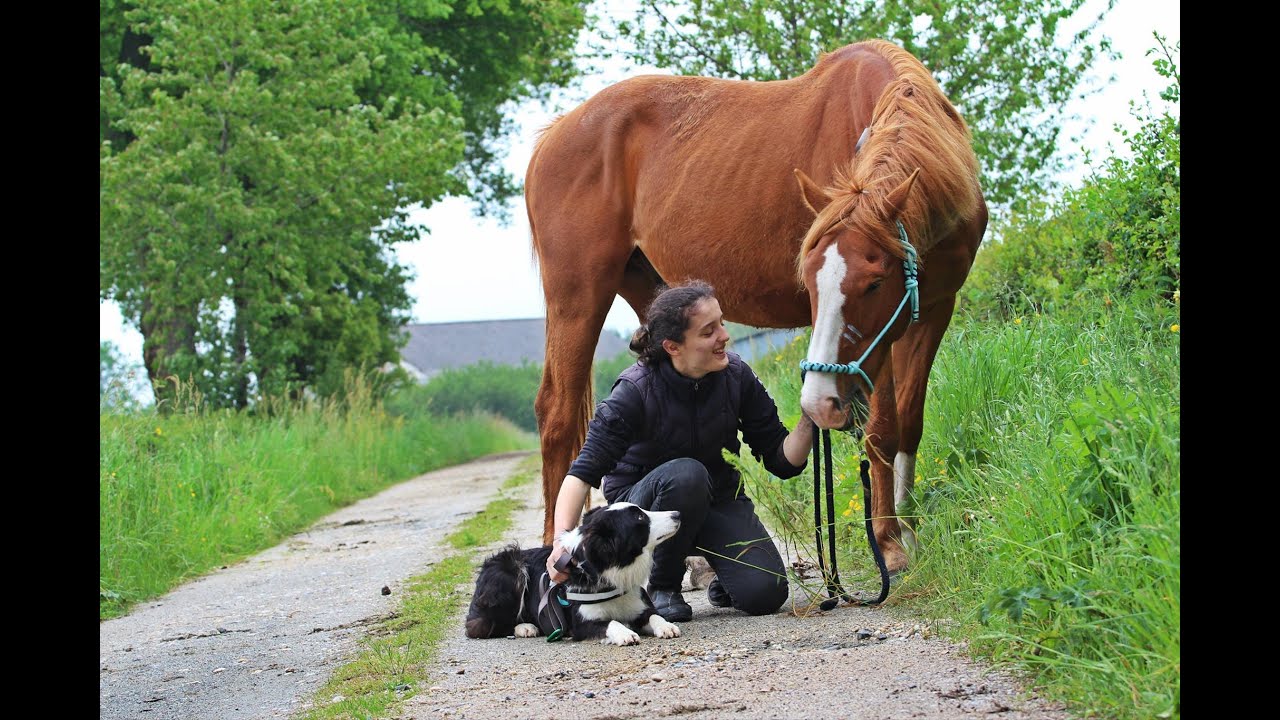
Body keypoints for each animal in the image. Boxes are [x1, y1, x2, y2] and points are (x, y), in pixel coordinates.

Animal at [526, 40, 987, 573]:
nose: (818, 402)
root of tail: (554, 136)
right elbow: (882, 429)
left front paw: (909, 529)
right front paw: (889, 543)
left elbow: (909, 420)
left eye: (874, 284)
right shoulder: (882, 341)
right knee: (557, 416)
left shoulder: (930, 310)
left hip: (648, 287)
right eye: (809, 281)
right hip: (578, 296)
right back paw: (552, 552)